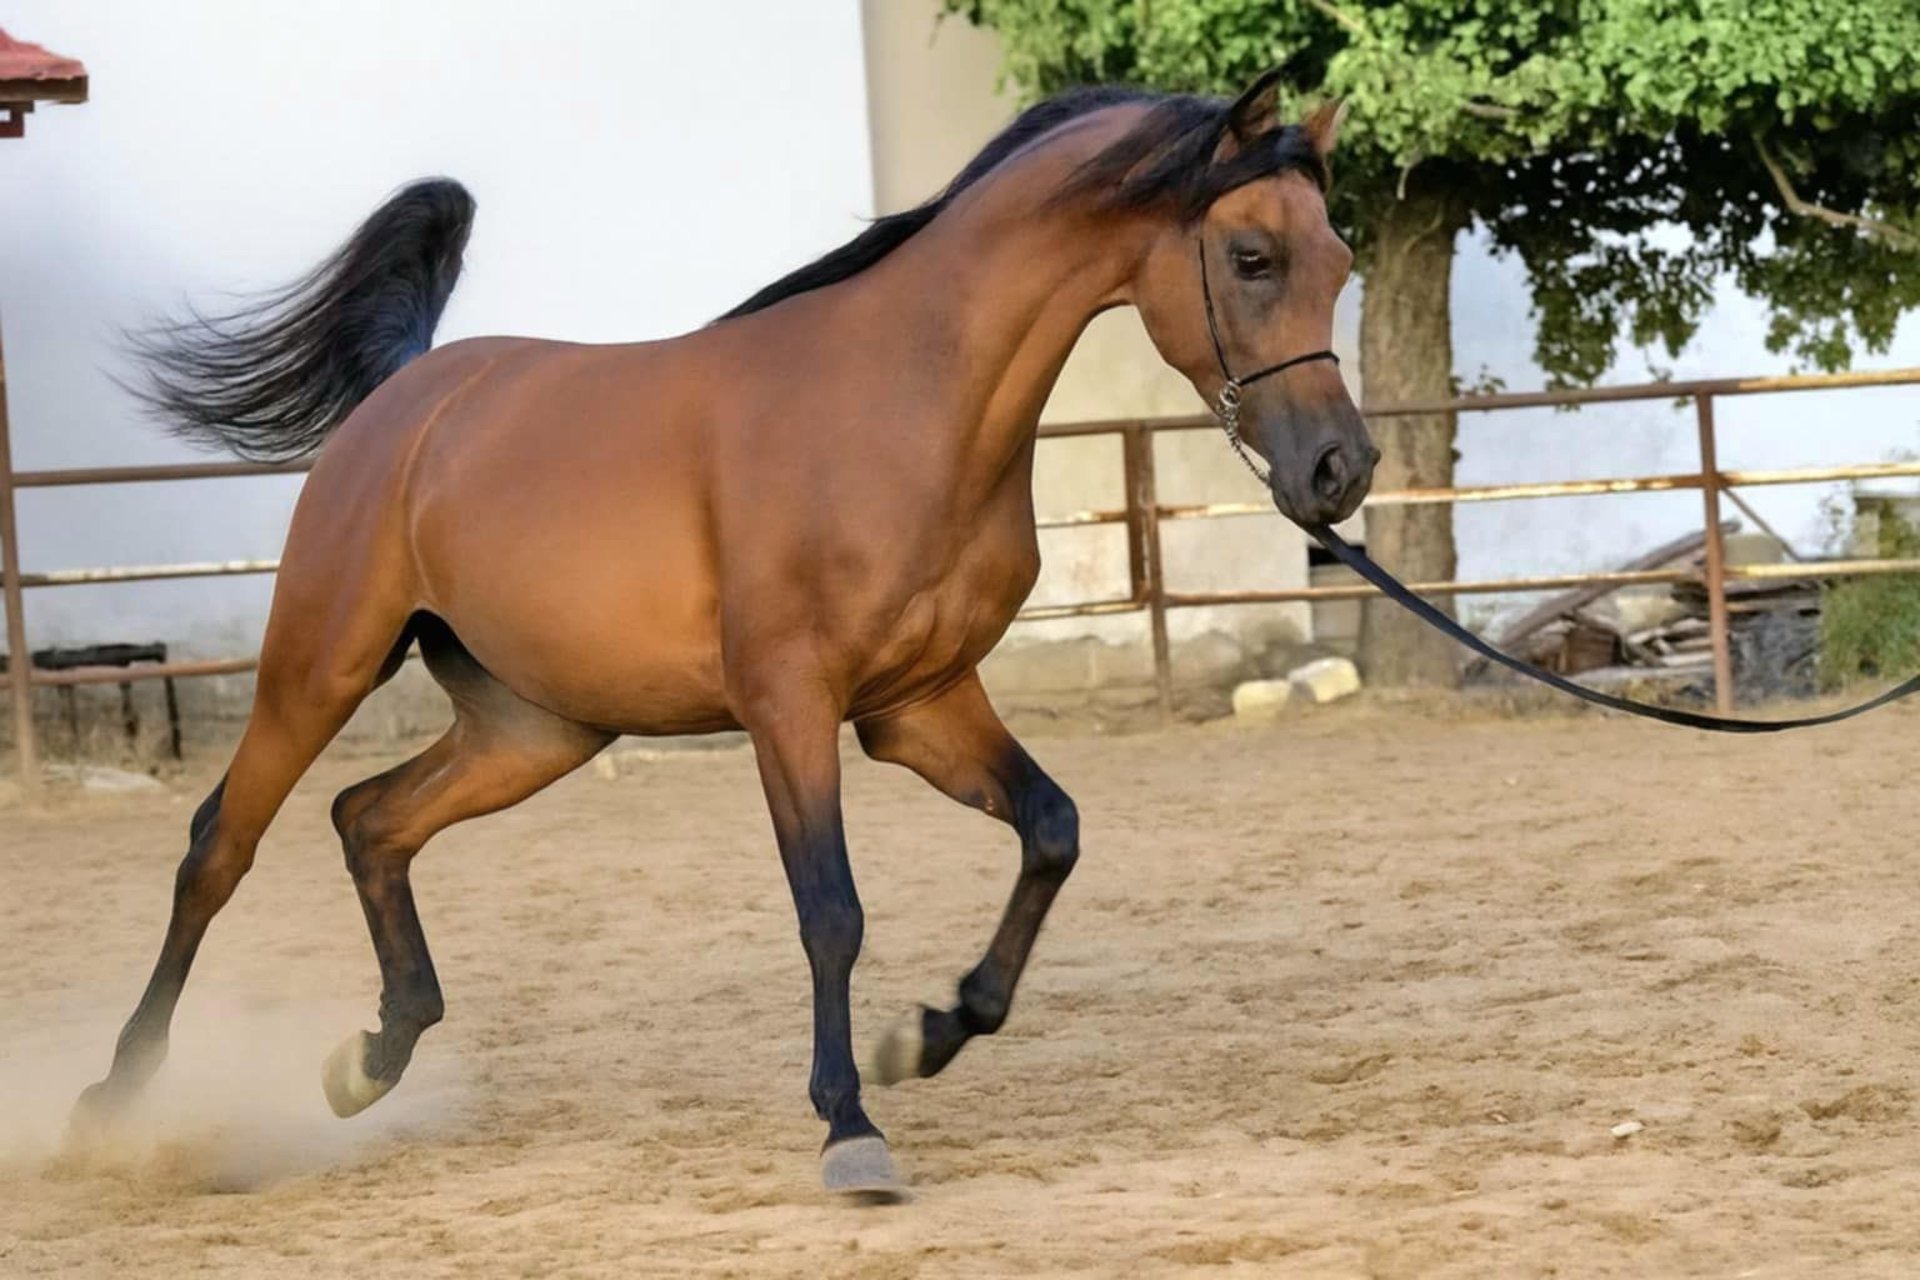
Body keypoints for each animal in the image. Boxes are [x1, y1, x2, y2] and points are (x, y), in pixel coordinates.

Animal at [72, 69, 1374, 1199]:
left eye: (1342, 259)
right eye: (1251, 257)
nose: (1339, 471)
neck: (906, 402)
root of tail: (411, 397)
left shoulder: (922, 703)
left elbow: (1051, 830)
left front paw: (932, 1031)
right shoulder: (789, 703)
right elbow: (832, 910)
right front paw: (851, 1125)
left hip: (534, 728)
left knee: (369, 819)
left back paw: (370, 1058)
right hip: (319, 666)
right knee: (219, 848)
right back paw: (114, 1094)